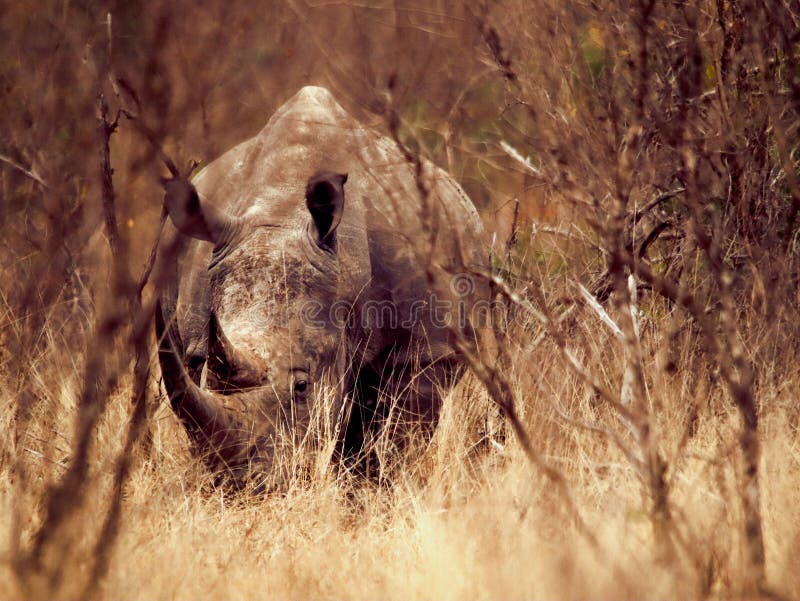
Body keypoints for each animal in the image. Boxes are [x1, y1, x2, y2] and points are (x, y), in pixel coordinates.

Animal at [156, 86, 488, 488]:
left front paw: (370, 491)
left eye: (302, 386)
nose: (240, 483)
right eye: (201, 363)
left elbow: (394, 439)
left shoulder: (424, 352)